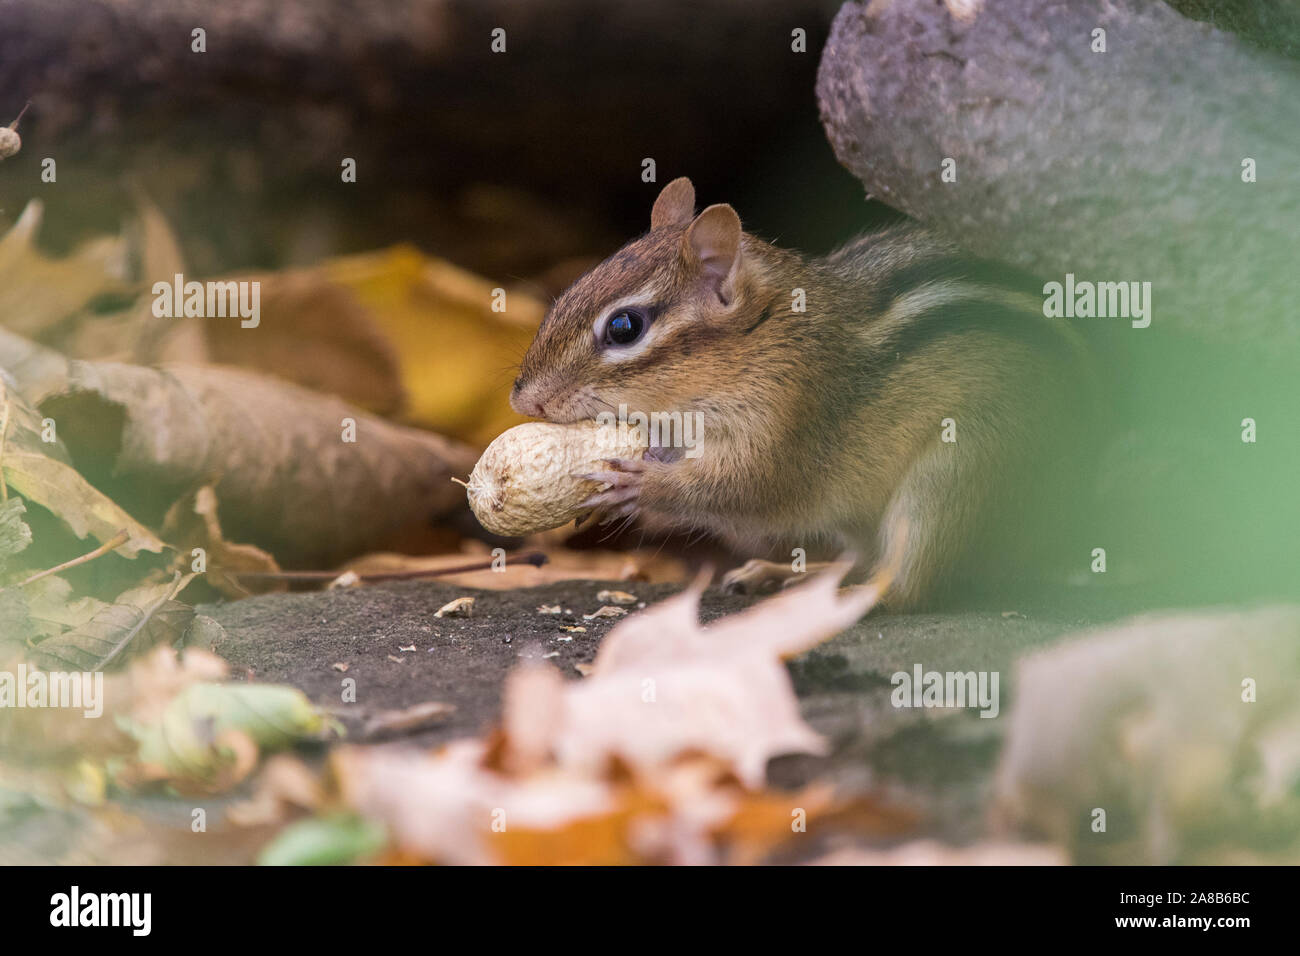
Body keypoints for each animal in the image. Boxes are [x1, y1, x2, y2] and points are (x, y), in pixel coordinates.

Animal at [511, 177, 1092, 609]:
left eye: (624, 327)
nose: (524, 400)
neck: (763, 338)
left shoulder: (788, 419)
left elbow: (744, 487)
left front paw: (640, 485)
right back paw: (785, 574)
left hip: (955, 474)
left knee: (910, 582)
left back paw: (858, 597)